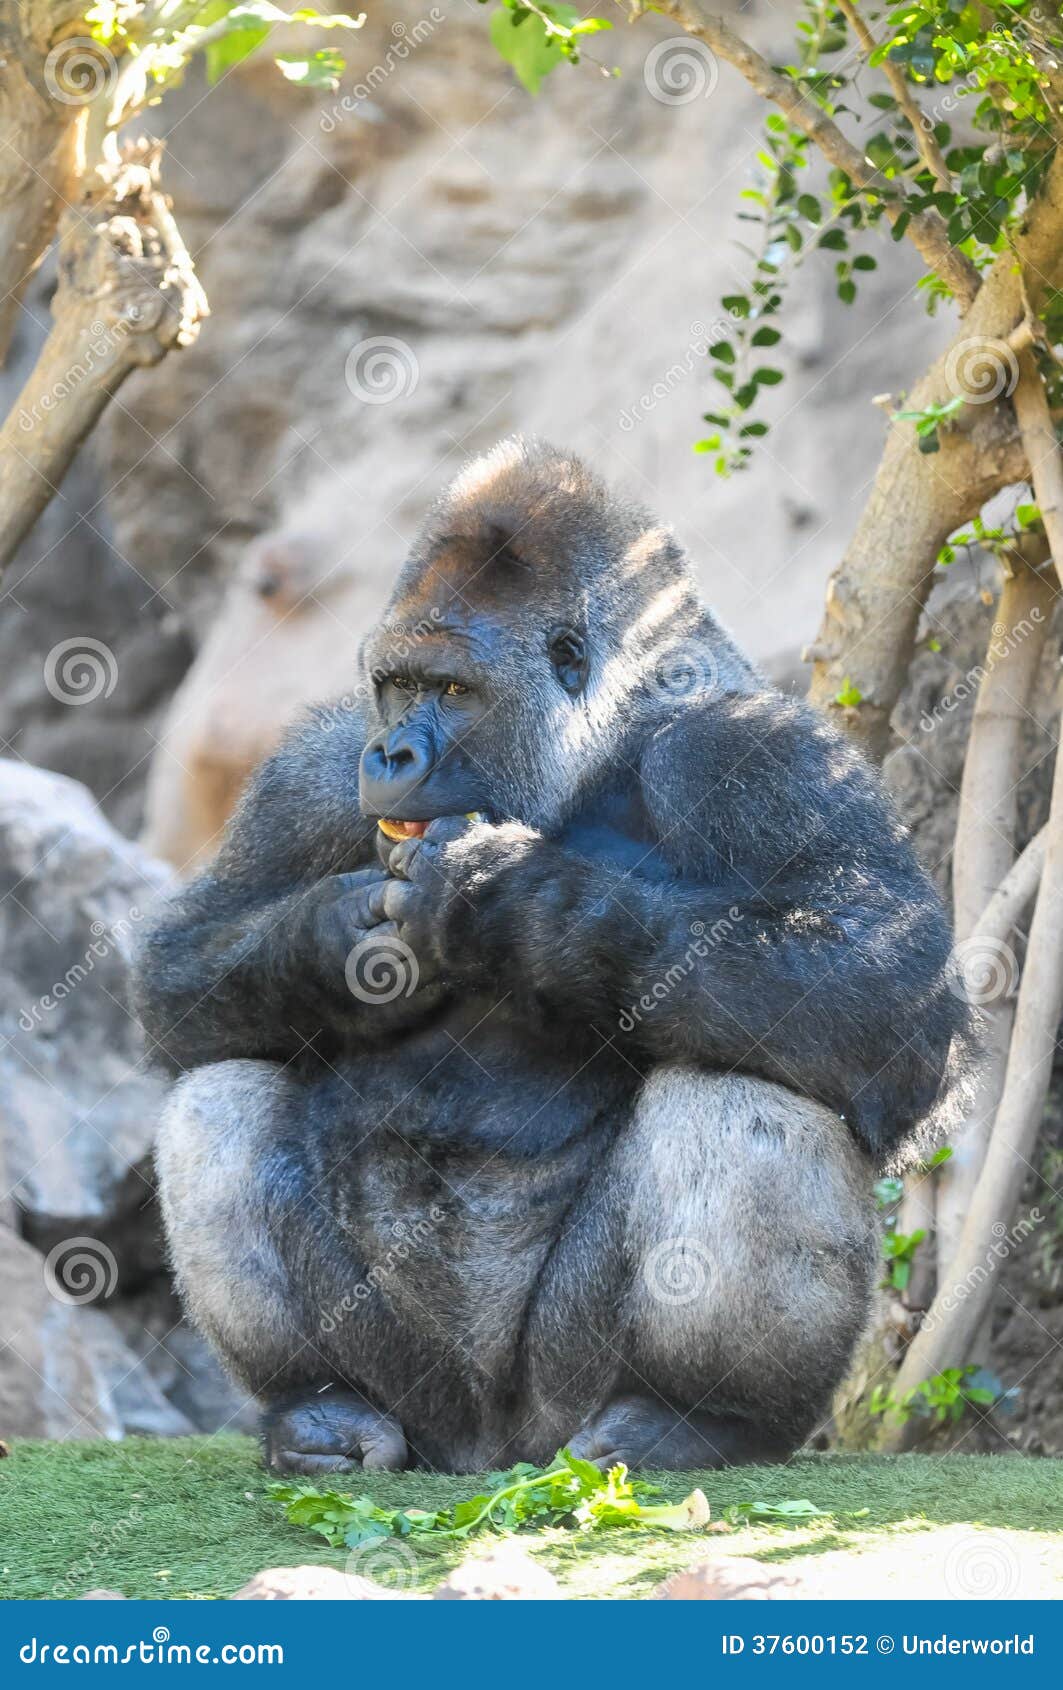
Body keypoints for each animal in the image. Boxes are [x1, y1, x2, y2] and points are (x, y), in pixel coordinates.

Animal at [135, 437, 972, 1475]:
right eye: (397, 684)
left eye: (453, 691)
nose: (393, 755)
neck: (603, 739)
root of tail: (488, 1449)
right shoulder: (316, 769)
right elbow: (177, 968)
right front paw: (333, 945)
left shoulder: (754, 755)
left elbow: (895, 1001)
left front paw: (505, 901)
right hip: (421, 1396)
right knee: (222, 1086)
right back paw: (320, 1406)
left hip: (562, 1397)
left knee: (745, 1092)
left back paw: (697, 1417)